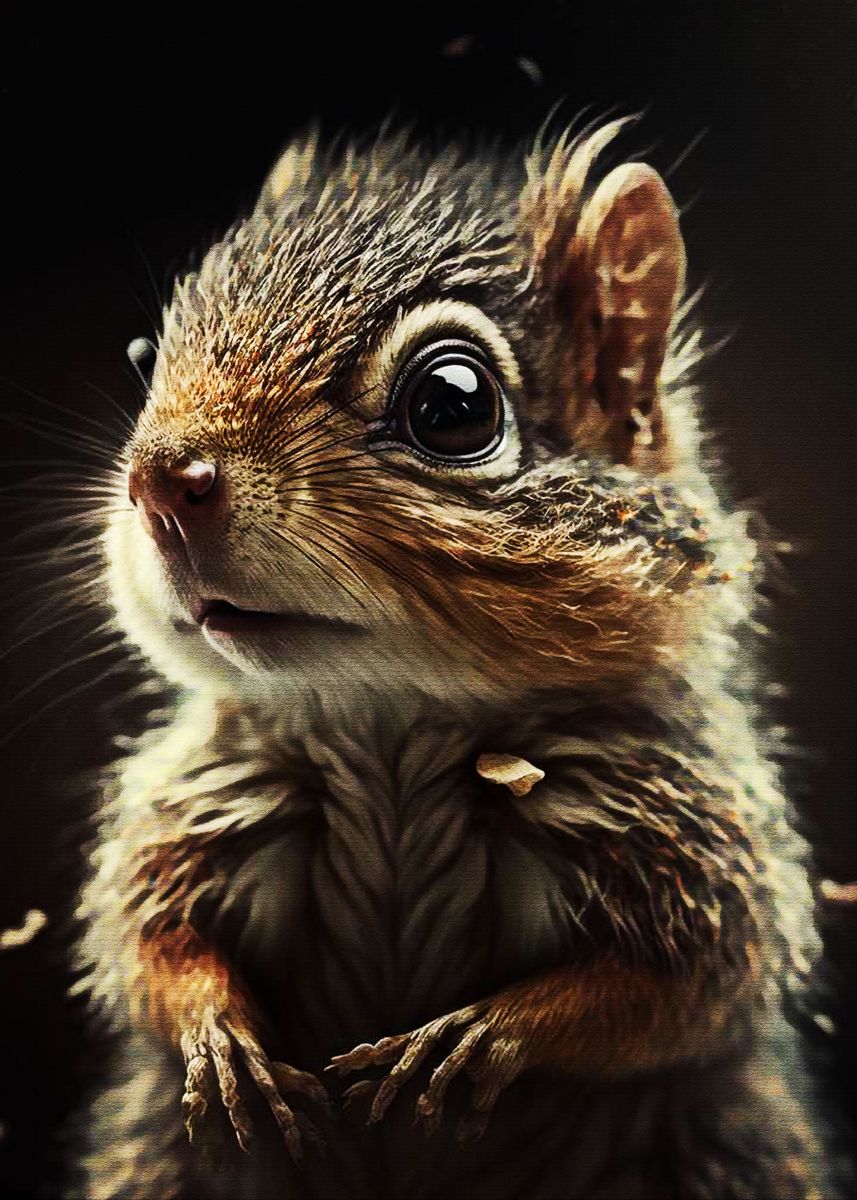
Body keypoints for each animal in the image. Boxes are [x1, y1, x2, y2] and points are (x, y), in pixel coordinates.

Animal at [71, 121, 835, 1199]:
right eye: (146, 359)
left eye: (451, 403)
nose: (159, 482)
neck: (389, 729)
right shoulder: (191, 808)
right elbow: (145, 943)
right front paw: (218, 1041)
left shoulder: (695, 837)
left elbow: (688, 984)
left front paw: (480, 1039)